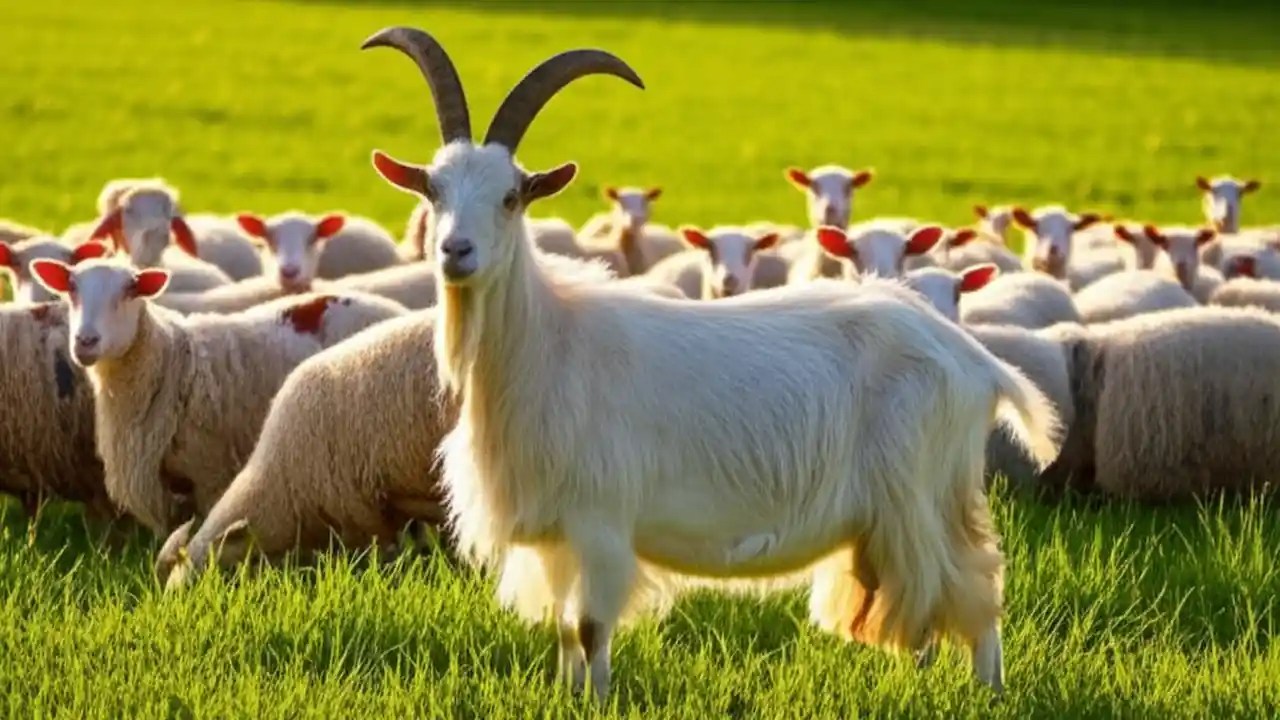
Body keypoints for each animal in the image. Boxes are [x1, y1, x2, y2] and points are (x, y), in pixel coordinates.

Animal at [28, 257, 405, 534]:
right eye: (71, 289)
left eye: (129, 291)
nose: (85, 342)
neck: (170, 361)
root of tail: (393, 309)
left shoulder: (209, 471)